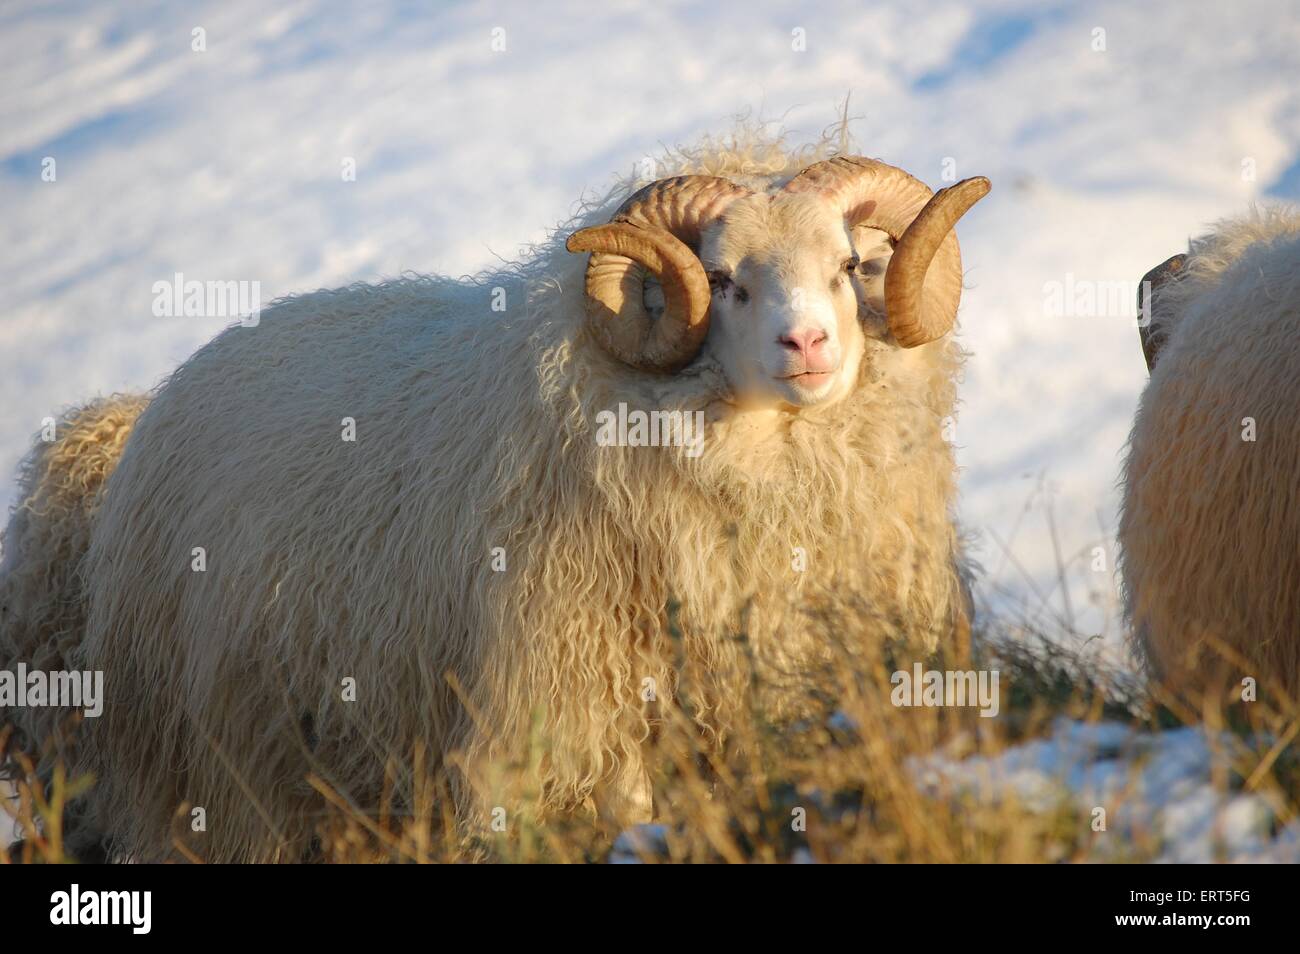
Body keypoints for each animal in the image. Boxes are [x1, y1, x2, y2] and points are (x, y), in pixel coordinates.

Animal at [1, 131, 989, 861]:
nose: (809, 345)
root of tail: (147, 409)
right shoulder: (565, 700)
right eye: (723, 279)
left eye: (848, 264)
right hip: (224, 774)